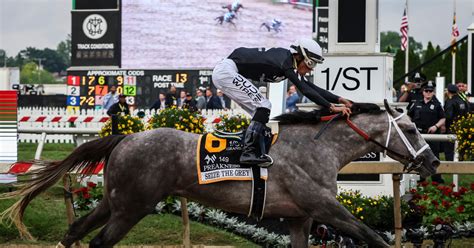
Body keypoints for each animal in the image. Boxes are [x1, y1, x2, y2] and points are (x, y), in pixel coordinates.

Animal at [0, 101, 438, 247]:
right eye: (412, 128)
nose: (433, 162)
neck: (318, 148)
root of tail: (125, 138)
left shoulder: (301, 217)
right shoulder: (325, 207)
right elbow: (373, 236)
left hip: (113, 201)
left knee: (76, 231)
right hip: (132, 207)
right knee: (98, 242)